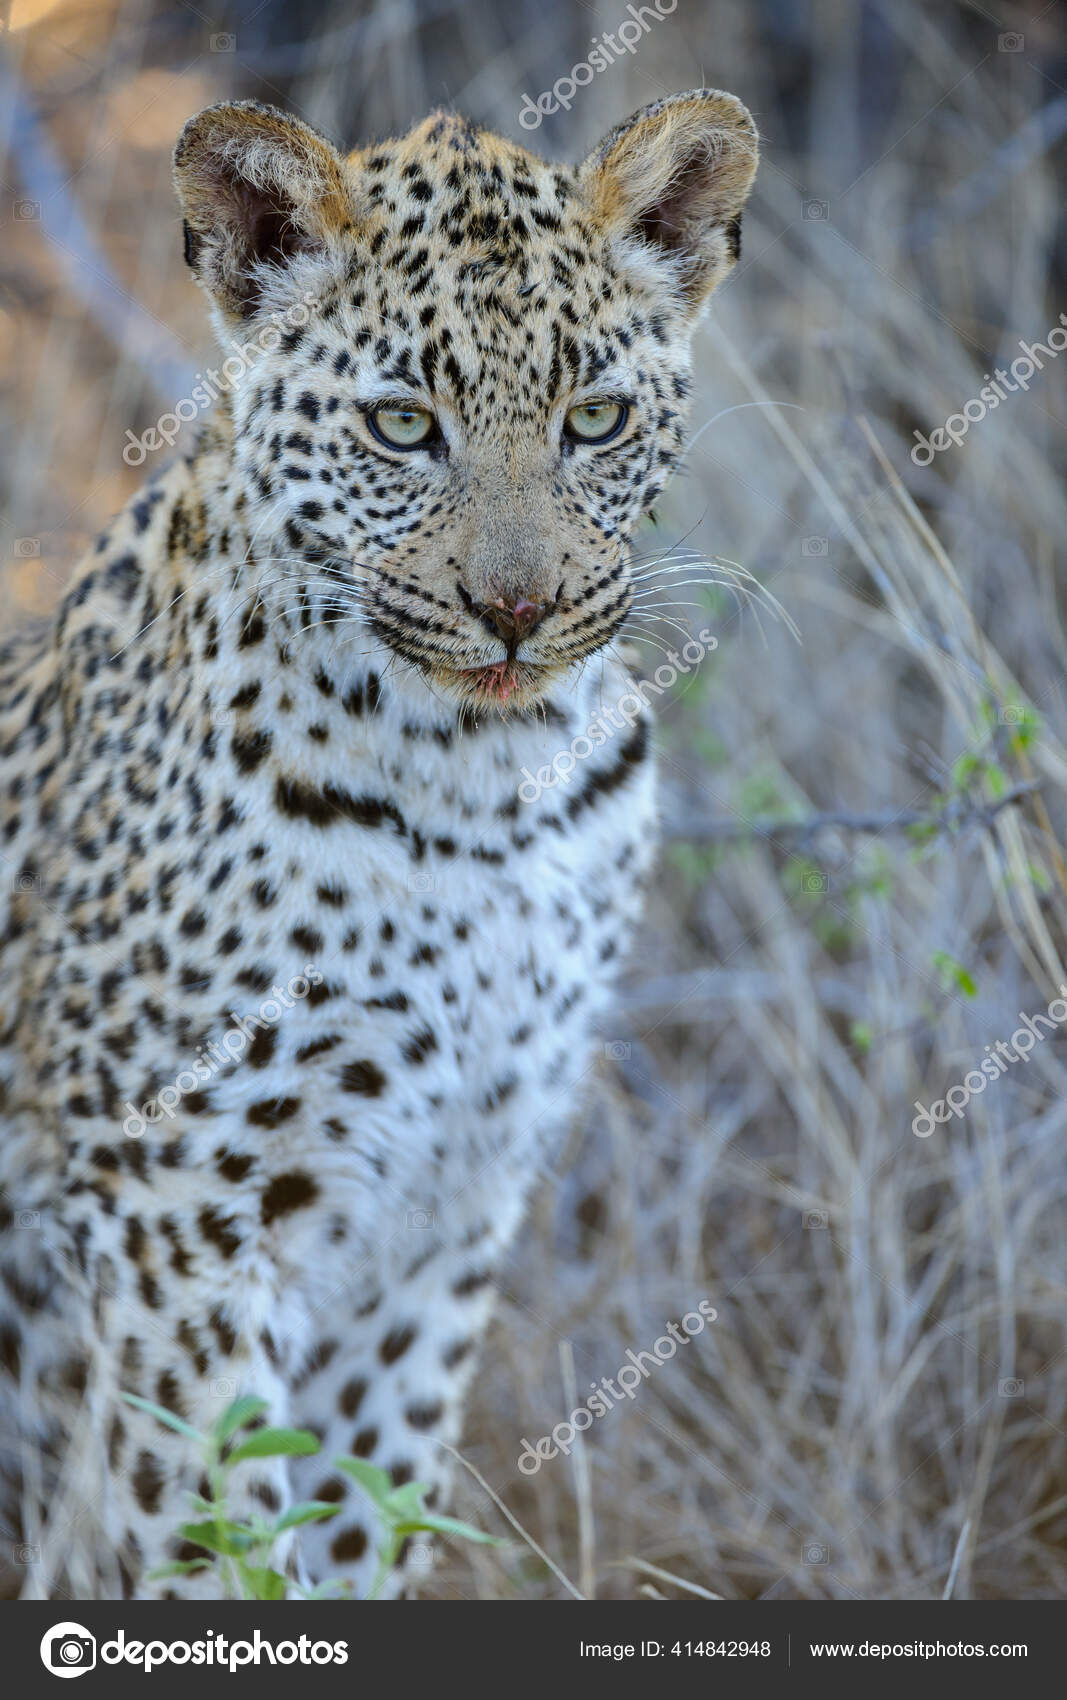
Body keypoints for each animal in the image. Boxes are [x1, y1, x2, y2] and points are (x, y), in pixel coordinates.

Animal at [0, 87, 757, 1599]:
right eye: (402, 427)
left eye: (594, 418)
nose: (518, 608)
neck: (486, 793)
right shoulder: (178, 1210)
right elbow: (208, 1536)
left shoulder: (450, 1206)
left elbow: (363, 1508)